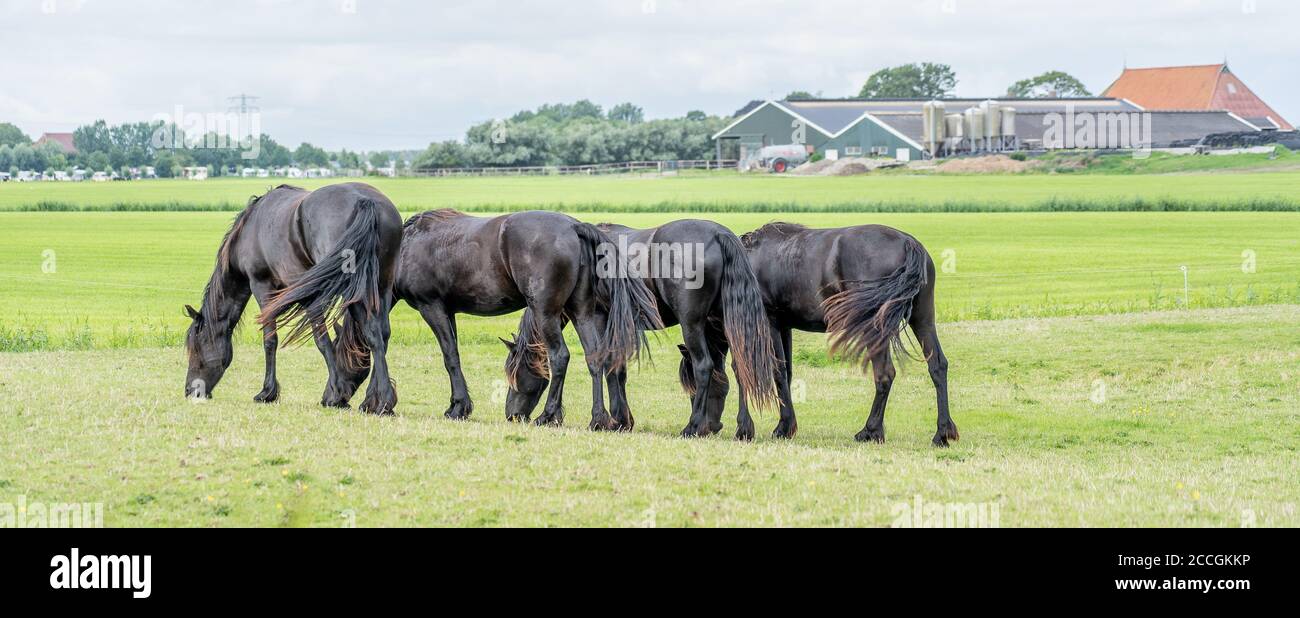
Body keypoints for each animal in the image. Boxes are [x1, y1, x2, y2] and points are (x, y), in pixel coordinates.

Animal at [184, 183, 404, 416]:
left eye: (196, 348)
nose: (190, 390)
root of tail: (365, 201)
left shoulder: (263, 287)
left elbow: (275, 340)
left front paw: (268, 392)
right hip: (382, 286)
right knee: (381, 335)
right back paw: (376, 402)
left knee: (371, 333)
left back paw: (377, 400)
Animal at [396, 209, 662, 430]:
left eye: (515, 374)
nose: (512, 415)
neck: (406, 247)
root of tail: (574, 227)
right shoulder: (448, 312)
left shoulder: (432, 307)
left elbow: (450, 356)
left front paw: (458, 407)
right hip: (581, 312)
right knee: (595, 357)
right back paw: (598, 419)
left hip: (546, 313)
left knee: (559, 356)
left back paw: (547, 415)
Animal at [506, 219, 778, 438]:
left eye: (515, 373)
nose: (511, 415)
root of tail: (718, 234)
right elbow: (618, 369)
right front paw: (622, 420)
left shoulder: (600, 318)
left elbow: (608, 364)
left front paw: (614, 419)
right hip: (726, 323)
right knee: (741, 367)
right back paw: (743, 428)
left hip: (692, 325)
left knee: (704, 367)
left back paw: (692, 426)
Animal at [682, 222, 958, 447]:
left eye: (694, 385)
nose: (709, 427)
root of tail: (908, 244)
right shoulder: (784, 326)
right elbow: (787, 373)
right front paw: (787, 424)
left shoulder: (770, 322)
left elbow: (776, 370)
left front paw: (783, 427)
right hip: (922, 319)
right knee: (937, 366)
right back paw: (942, 432)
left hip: (875, 328)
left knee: (885, 374)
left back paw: (871, 431)